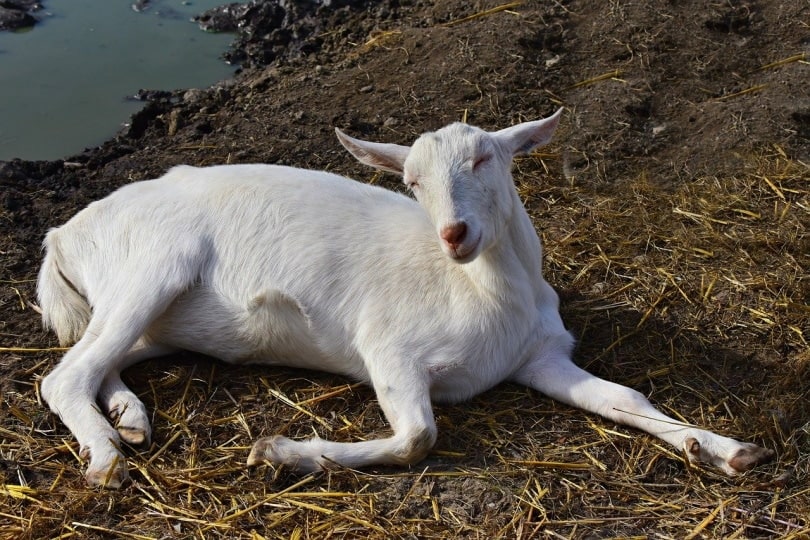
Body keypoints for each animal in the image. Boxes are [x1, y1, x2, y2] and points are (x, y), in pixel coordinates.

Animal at [37, 110, 773, 488]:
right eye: (412, 181)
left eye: (485, 159)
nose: (454, 234)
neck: (484, 291)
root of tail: (63, 232)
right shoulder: (388, 349)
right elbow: (419, 436)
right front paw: (281, 451)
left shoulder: (540, 356)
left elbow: (627, 397)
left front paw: (722, 447)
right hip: (152, 265)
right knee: (62, 375)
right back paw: (106, 455)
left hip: (157, 313)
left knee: (103, 357)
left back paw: (128, 416)